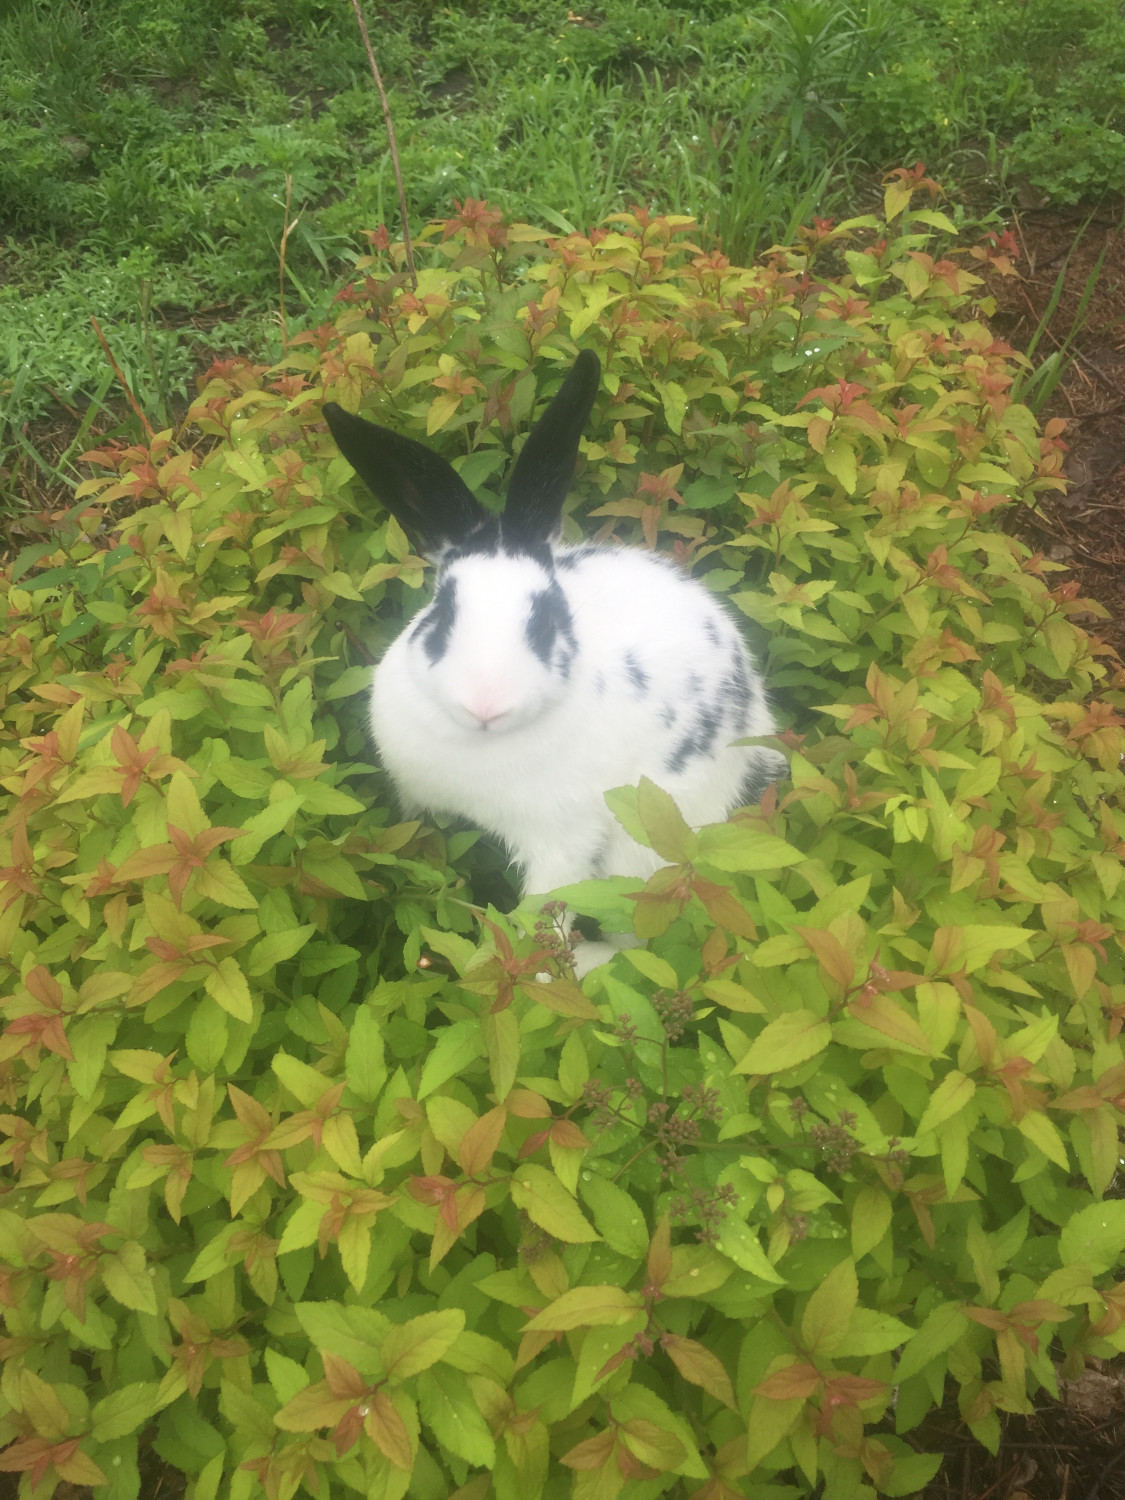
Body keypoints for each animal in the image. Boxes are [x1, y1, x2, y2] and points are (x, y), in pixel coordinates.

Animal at [323, 350, 785, 975]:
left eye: (546, 620)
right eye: (442, 612)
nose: (486, 704)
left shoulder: (563, 844)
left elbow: (543, 914)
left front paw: (531, 974)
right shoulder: (416, 798)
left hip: (648, 853)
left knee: (638, 941)